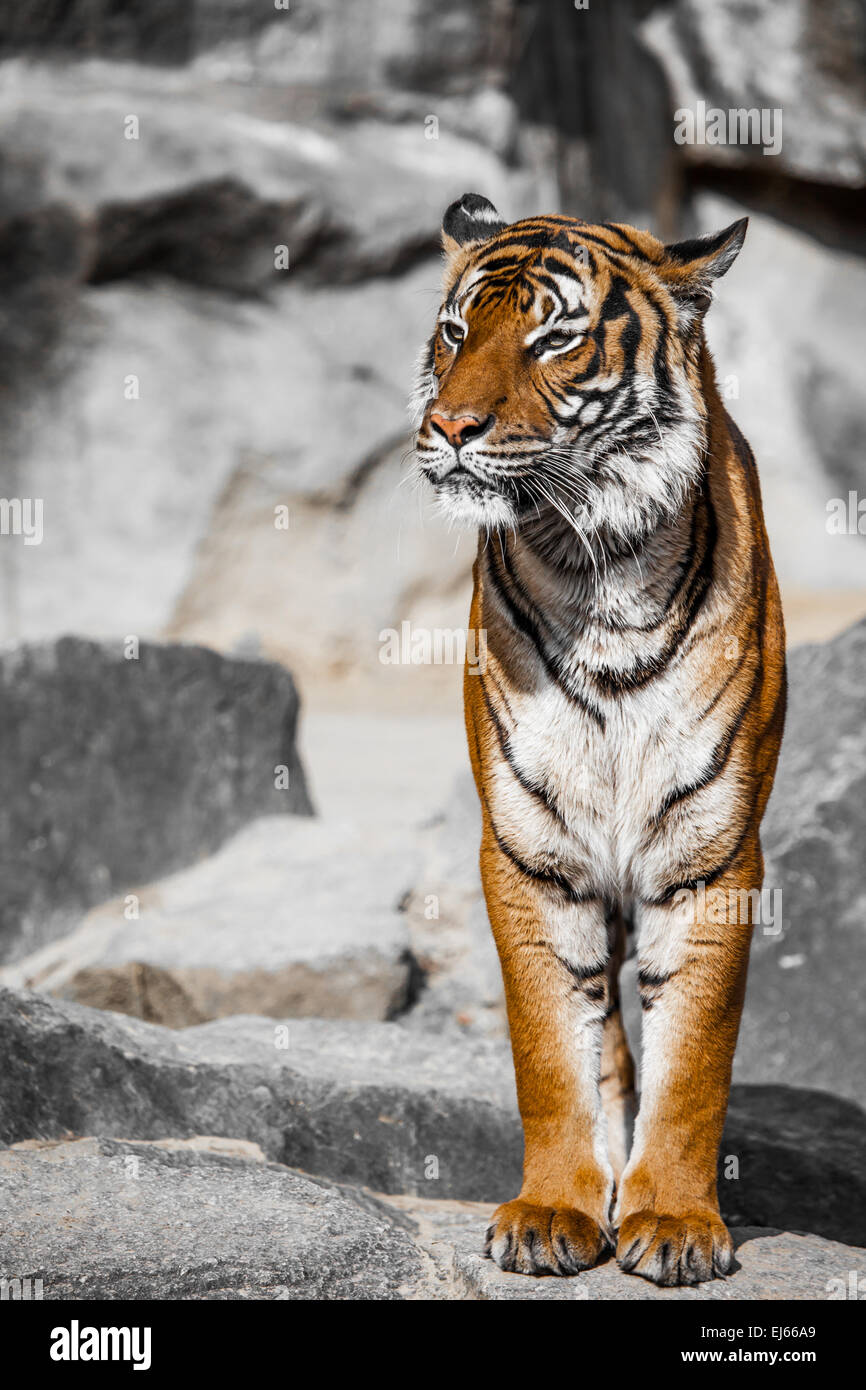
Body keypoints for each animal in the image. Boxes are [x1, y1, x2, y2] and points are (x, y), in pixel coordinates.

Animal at [410, 193, 786, 1286]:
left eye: (552, 338)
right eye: (457, 331)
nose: (448, 427)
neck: (597, 567)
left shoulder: (712, 856)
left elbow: (692, 1056)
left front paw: (675, 1221)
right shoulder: (530, 850)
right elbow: (554, 1047)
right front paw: (552, 1211)